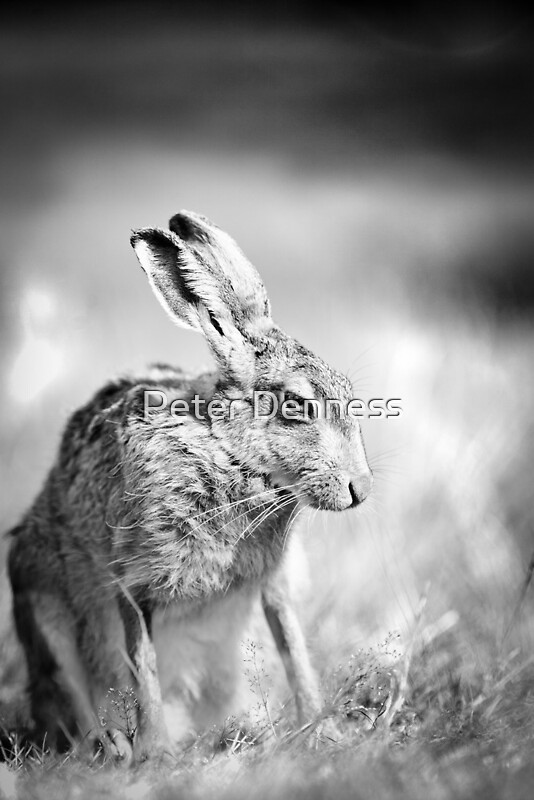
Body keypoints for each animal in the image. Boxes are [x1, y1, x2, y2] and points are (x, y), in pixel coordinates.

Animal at [7, 210, 373, 764]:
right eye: (295, 405)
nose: (361, 488)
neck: (231, 457)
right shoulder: (133, 578)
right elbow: (143, 665)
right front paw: (156, 753)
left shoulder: (274, 585)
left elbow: (293, 648)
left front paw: (325, 732)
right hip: (43, 609)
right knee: (70, 697)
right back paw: (113, 746)